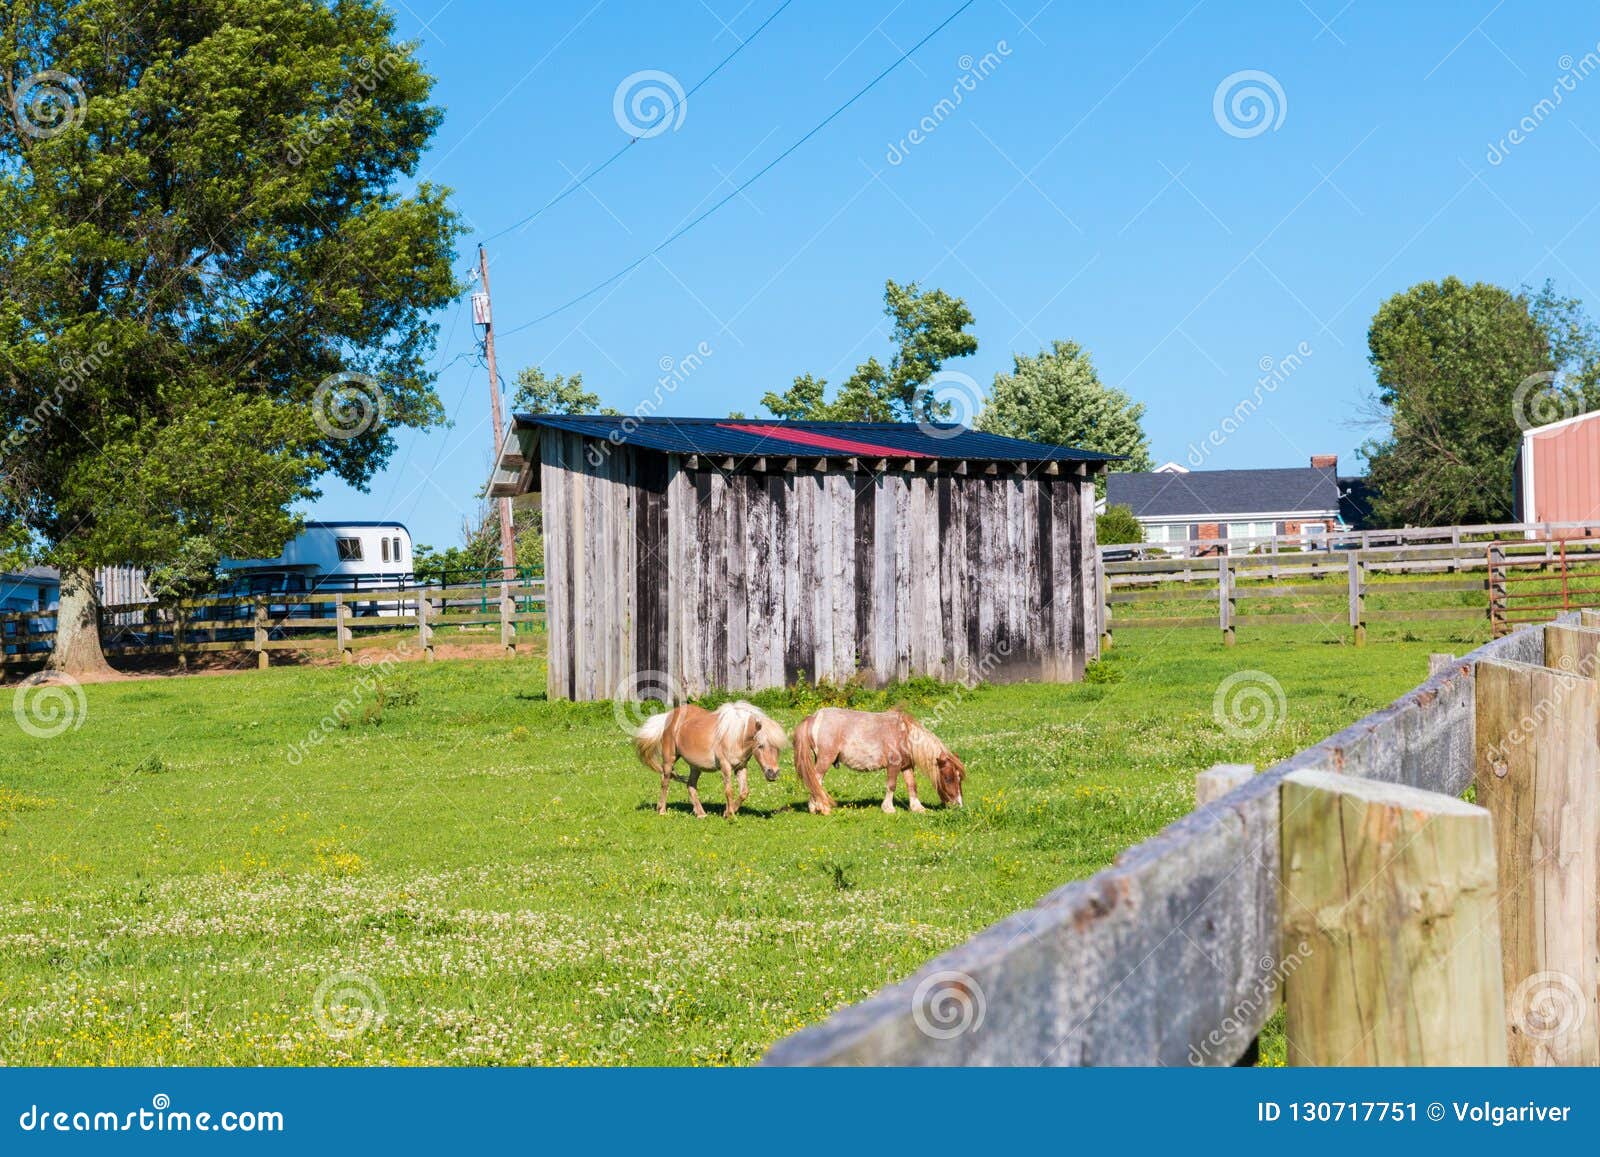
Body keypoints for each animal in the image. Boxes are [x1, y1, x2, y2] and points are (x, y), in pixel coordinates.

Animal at [633, 701, 789, 819]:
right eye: (761, 745)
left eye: (778, 748)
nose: (773, 773)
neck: (736, 736)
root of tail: (670, 715)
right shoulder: (725, 766)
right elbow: (729, 790)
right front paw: (731, 815)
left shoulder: (741, 767)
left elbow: (744, 792)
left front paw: (728, 811)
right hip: (669, 759)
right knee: (665, 782)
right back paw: (662, 811)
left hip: (695, 766)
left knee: (690, 785)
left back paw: (701, 814)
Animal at [792, 707, 965, 815]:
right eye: (948, 778)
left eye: (959, 779)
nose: (958, 805)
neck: (904, 736)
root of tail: (814, 717)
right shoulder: (893, 765)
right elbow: (891, 785)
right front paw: (888, 808)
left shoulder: (907, 766)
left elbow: (912, 785)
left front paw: (918, 808)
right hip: (825, 759)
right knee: (815, 780)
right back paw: (819, 808)